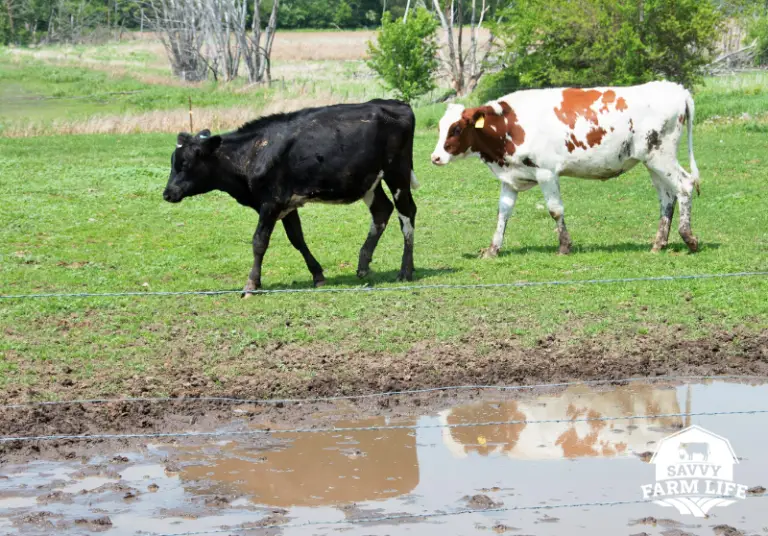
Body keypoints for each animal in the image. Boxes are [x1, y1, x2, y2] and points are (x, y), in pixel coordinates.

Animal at [163, 100, 420, 296]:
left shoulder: (271, 203)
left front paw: (251, 284)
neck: (253, 152)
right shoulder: (287, 204)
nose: (167, 193)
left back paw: (405, 270)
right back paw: (364, 265)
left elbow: (259, 242)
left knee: (406, 214)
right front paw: (318, 275)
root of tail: (397, 104)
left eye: (185, 163)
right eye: (173, 161)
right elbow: (297, 239)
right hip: (369, 180)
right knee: (382, 211)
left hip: (397, 173)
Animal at [430, 81, 701, 257]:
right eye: (440, 127)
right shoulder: (510, 177)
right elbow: (503, 213)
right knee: (667, 197)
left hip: (661, 156)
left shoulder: (546, 172)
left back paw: (689, 239)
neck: (510, 125)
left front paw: (564, 247)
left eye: (456, 128)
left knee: (685, 186)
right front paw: (492, 249)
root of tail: (675, 88)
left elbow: (555, 210)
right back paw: (658, 244)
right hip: (652, 161)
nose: (435, 157)